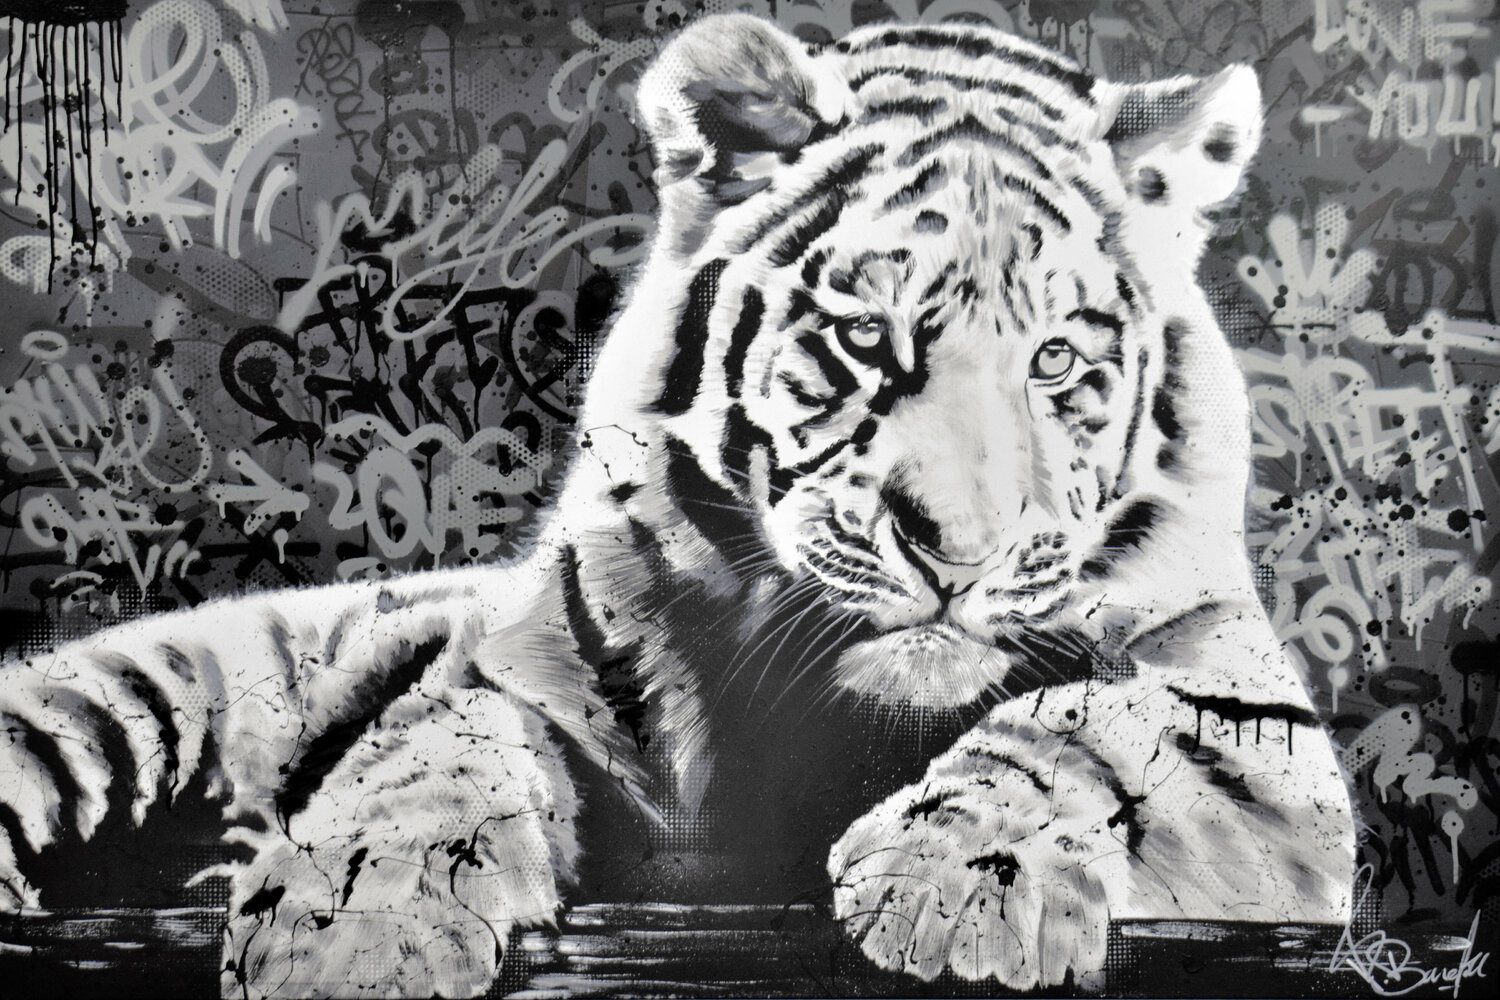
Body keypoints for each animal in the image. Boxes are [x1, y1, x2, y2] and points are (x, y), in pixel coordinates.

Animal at [0, 13, 1356, 998]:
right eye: (866, 337)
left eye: (1058, 362)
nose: (955, 556)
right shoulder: (521, 676)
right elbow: (430, 756)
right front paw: (354, 929)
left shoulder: (1257, 723)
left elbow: (1100, 723)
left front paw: (948, 891)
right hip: (118, 696)